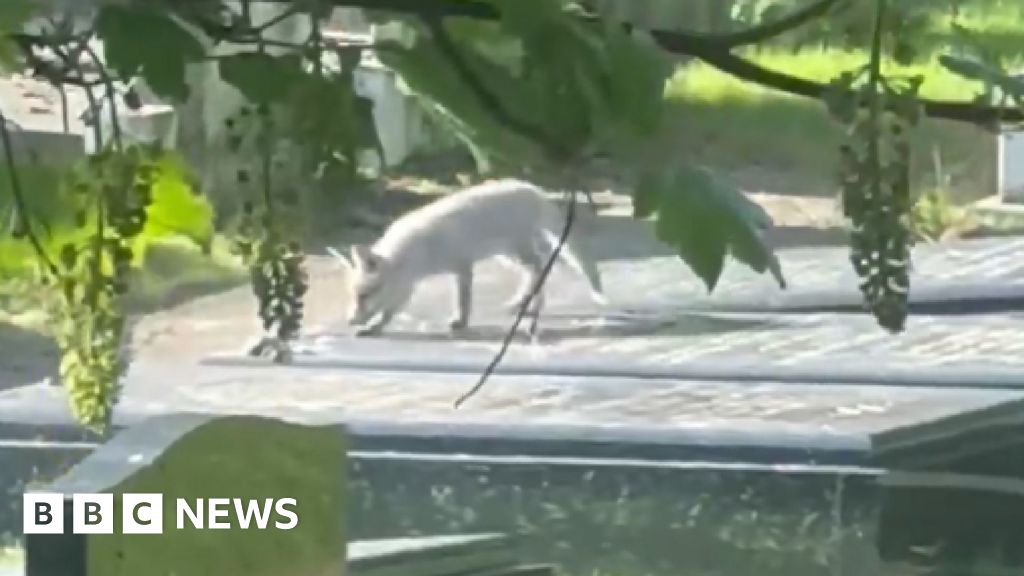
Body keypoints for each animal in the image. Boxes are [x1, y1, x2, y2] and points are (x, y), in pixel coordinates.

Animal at [328, 179, 607, 337]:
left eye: (364, 296)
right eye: (354, 296)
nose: (350, 320)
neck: (415, 254)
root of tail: (533, 188)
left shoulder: (461, 266)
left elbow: (464, 301)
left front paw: (461, 322)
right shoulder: (409, 285)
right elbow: (389, 312)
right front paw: (374, 327)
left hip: (516, 250)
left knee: (541, 267)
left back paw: (531, 305)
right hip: (508, 255)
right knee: (539, 268)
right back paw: (522, 304)